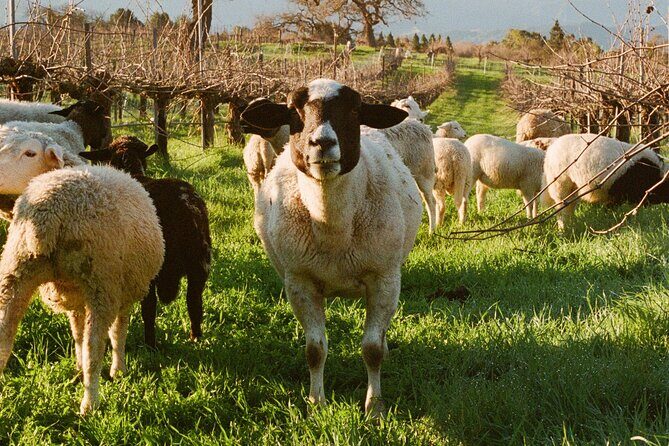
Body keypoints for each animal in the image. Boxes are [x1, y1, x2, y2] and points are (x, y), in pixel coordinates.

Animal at [0, 139, 164, 414]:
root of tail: (49, 211)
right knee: (94, 347)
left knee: (3, 338)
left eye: (29, 153)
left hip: (16, 273)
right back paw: (90, 404)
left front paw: (77, 368)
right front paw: (118, 370)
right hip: (101, 282)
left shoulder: (73, 291)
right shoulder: (124, 290)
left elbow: (76, 330)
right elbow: (118, 332)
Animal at [80, 135, 212, 348]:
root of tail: (183, 207)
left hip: (151, 266)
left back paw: (150, 344)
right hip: (200, 263)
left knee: (150, 308)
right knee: (194, 302)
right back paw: (196, 338)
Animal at [241, 79, 422, 417]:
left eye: (354, 110)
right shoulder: (300, 282)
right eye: (293, 111)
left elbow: (372, 349)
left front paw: (375, 408)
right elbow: (315, 350)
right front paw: (316, 403)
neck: (333, 227)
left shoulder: (384, 279)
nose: (322, 143)